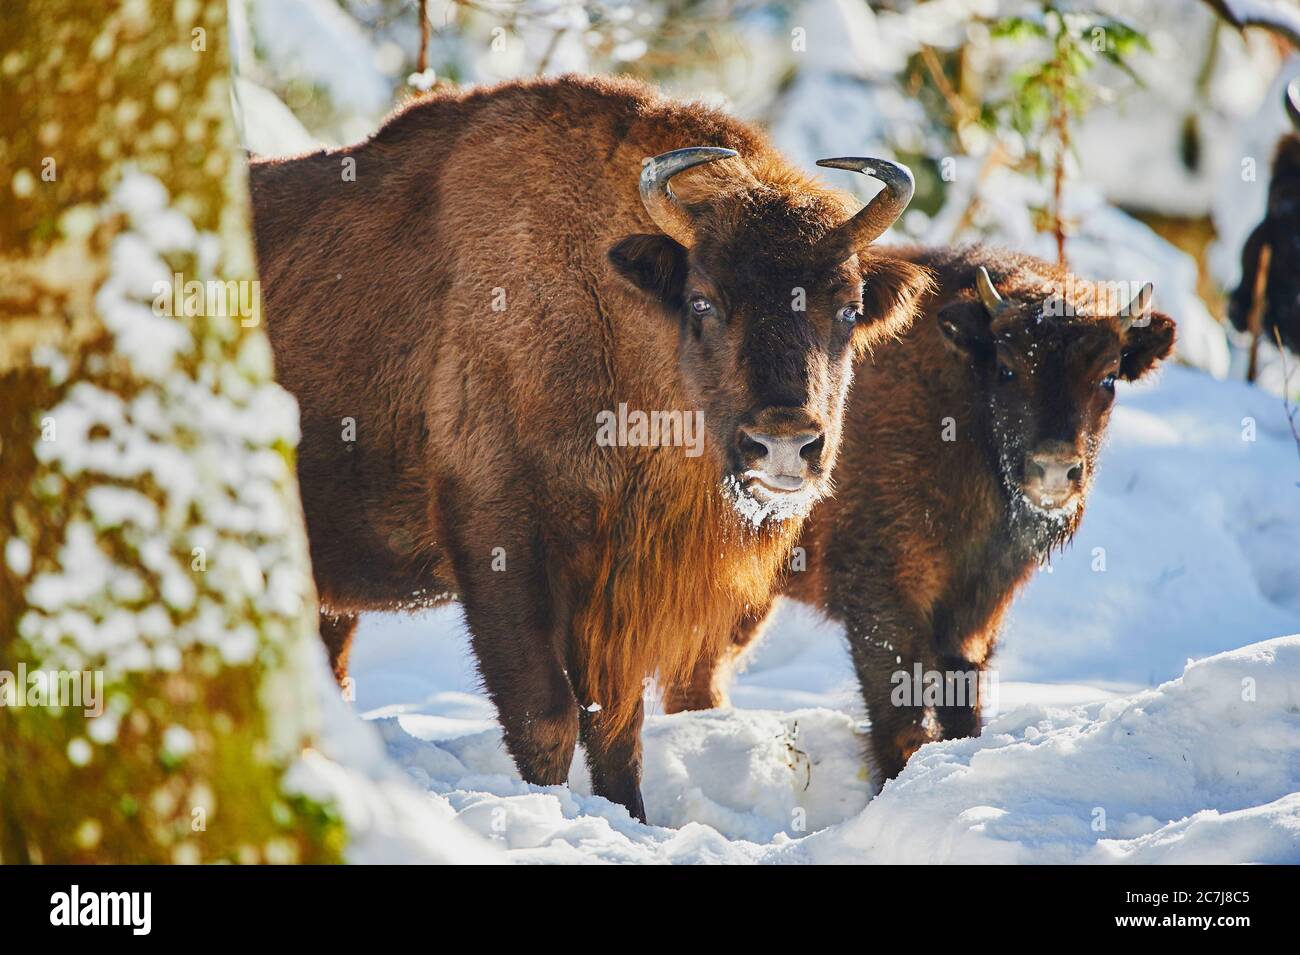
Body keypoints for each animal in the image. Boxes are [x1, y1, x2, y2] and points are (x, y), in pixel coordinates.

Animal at [249, 74, 929, 820]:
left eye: (848, 308)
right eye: (702, 301)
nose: (784, 441)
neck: (609, 308)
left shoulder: (616, 587)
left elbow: (616, 724)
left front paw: (631, 817)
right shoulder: (502, 548)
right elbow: (545, 714)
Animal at [664, 246, 1175, 784]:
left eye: (1108, 377)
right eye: (1008, 368)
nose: (1054, 469)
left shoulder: (975, 612)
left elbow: (962, 704)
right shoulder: (882, 595)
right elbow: (900, 716)